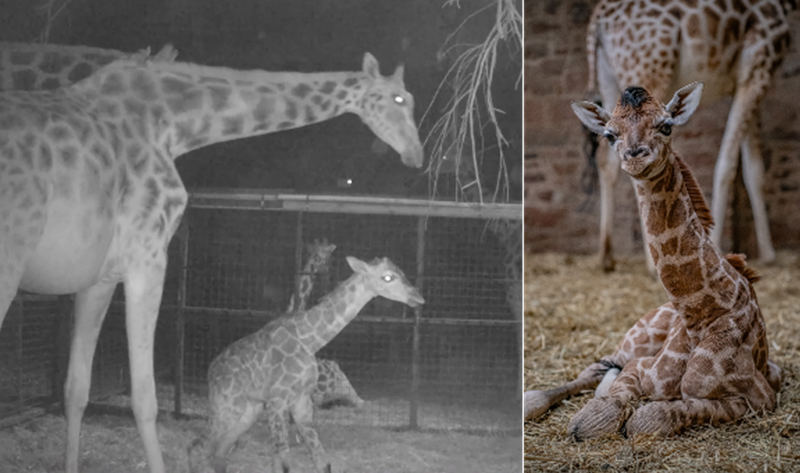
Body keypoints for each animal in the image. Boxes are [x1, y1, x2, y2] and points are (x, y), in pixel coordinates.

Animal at [190, 256, 424, 473]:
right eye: (387, 277)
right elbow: (284, 463)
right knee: (197, 447)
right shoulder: (277, 401)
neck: (309, 341)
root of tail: (211, 371)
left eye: (402, 272)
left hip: (248, 411)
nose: (418, 298)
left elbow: (321, 461)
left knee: (218, 453)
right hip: (227, 407)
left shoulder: (301, 401)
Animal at [525, 83, 782, 439]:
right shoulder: (640, 367)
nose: (635, 156)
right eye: (609, 135)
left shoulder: (759, 397)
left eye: (666, 126)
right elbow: (595, 416)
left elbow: (651, 418)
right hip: (633, 341)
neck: (700, 314)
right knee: (597, 365)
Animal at [584, 0, 794, 273]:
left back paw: (606, 257)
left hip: (609, 79)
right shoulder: (760, 64)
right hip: (647, 71)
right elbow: (727, 164)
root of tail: (597, 20)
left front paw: (769, 255)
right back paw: (651, 264)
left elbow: (754, 170)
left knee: (605, 158)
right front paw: (715, 248)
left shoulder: (745, 79)